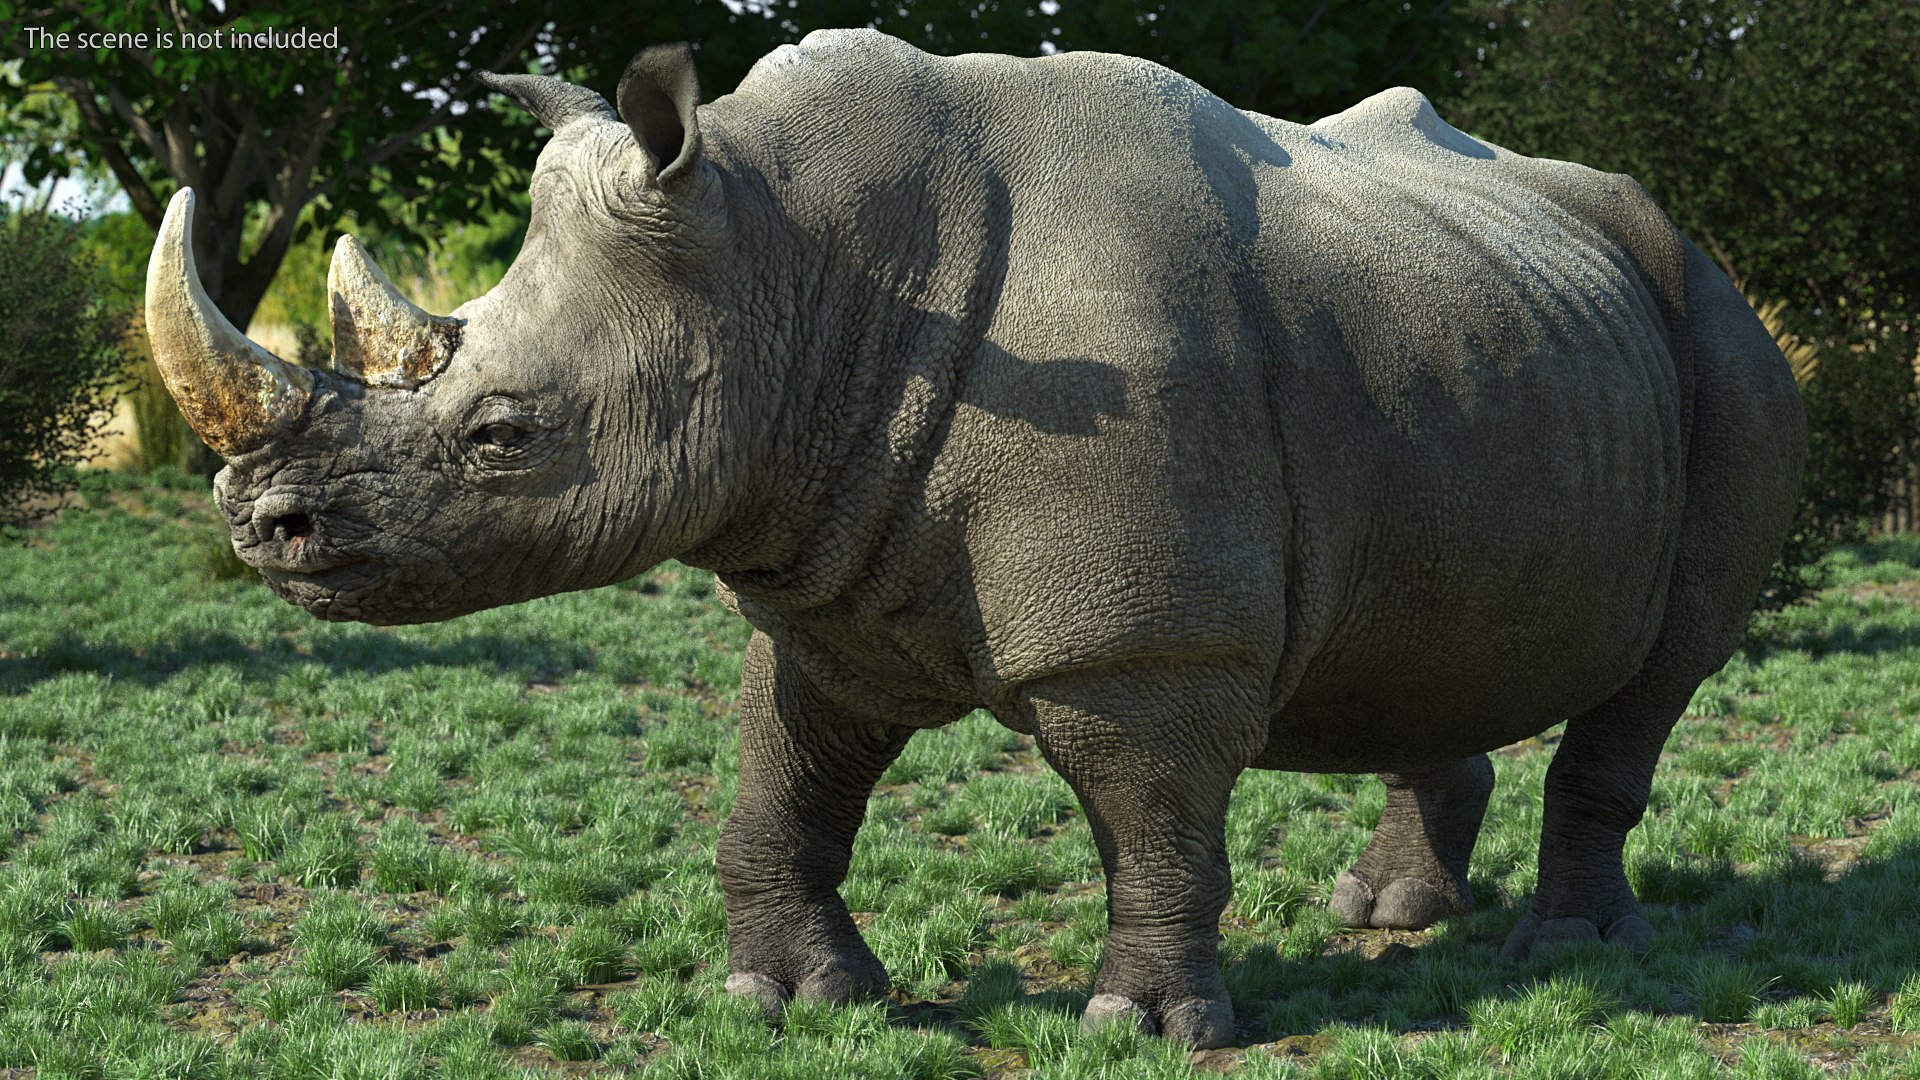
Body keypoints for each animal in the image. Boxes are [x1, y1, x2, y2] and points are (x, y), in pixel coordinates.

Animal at [145, 29, 1804, 1047]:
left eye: (503, 435)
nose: (263, 527)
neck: (790, 268)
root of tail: (1684, 242)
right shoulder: (822, 570)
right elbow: (784, 782)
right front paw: (787, 1003)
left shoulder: (1142, 639)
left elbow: (1151, 814)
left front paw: (1143, 1027)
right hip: (1484, 344)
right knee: (1435, 620)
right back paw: (1391, 915)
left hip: (1725, 343)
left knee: (1661, 672)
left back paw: (1568, 955)